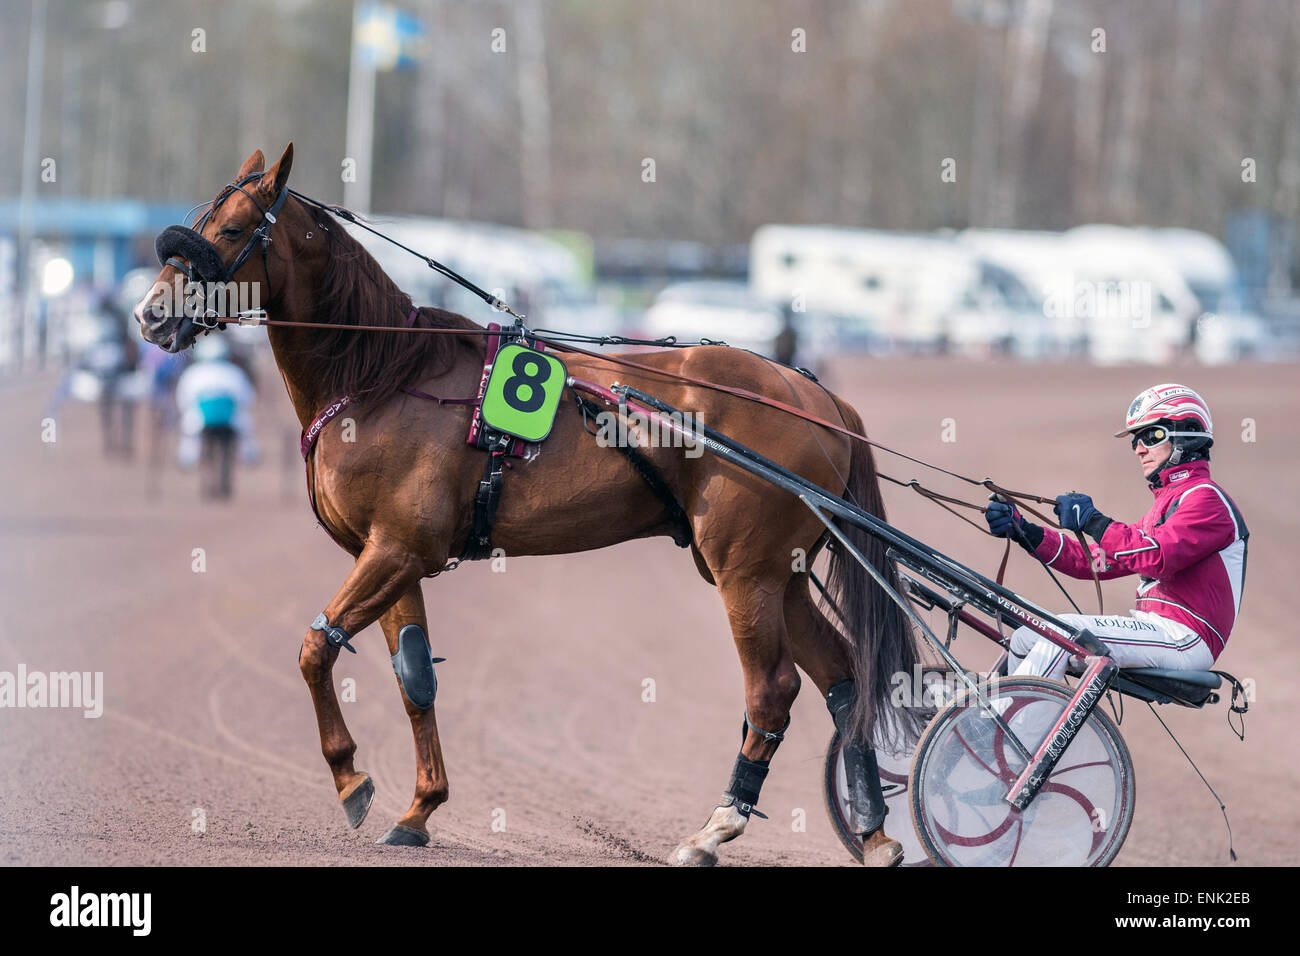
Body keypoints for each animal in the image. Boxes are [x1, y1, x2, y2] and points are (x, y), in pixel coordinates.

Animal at [133, 144, 923, 866]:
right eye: (199, 221)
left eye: (234, 228)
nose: (149, 314)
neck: (382, 378)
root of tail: (814, 396)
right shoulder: (390, 554)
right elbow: (415, 680)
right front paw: (418, 811)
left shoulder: (397, 548)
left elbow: (314, 647)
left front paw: (352, 779)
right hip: (783, 571)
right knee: (843, 676)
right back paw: (875, 832)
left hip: (744, 572)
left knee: (773, 690)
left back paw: (715, 829)